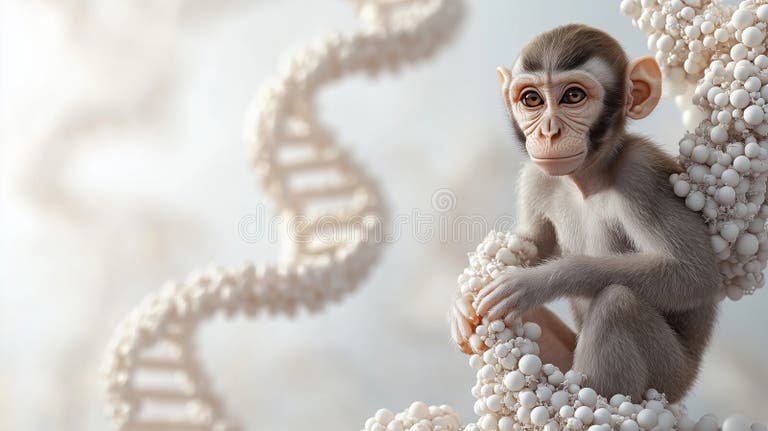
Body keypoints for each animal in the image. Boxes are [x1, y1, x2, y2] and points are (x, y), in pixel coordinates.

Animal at [449, 24, 721, 403]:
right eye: (532, 100)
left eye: (573, 96)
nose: (549, 132)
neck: (586, 180)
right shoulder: (535, 176)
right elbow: (532, 243)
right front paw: (461, 304)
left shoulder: (640, 172)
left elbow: (694, 271)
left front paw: (538, 281)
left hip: (671, 378)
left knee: (617, 305)